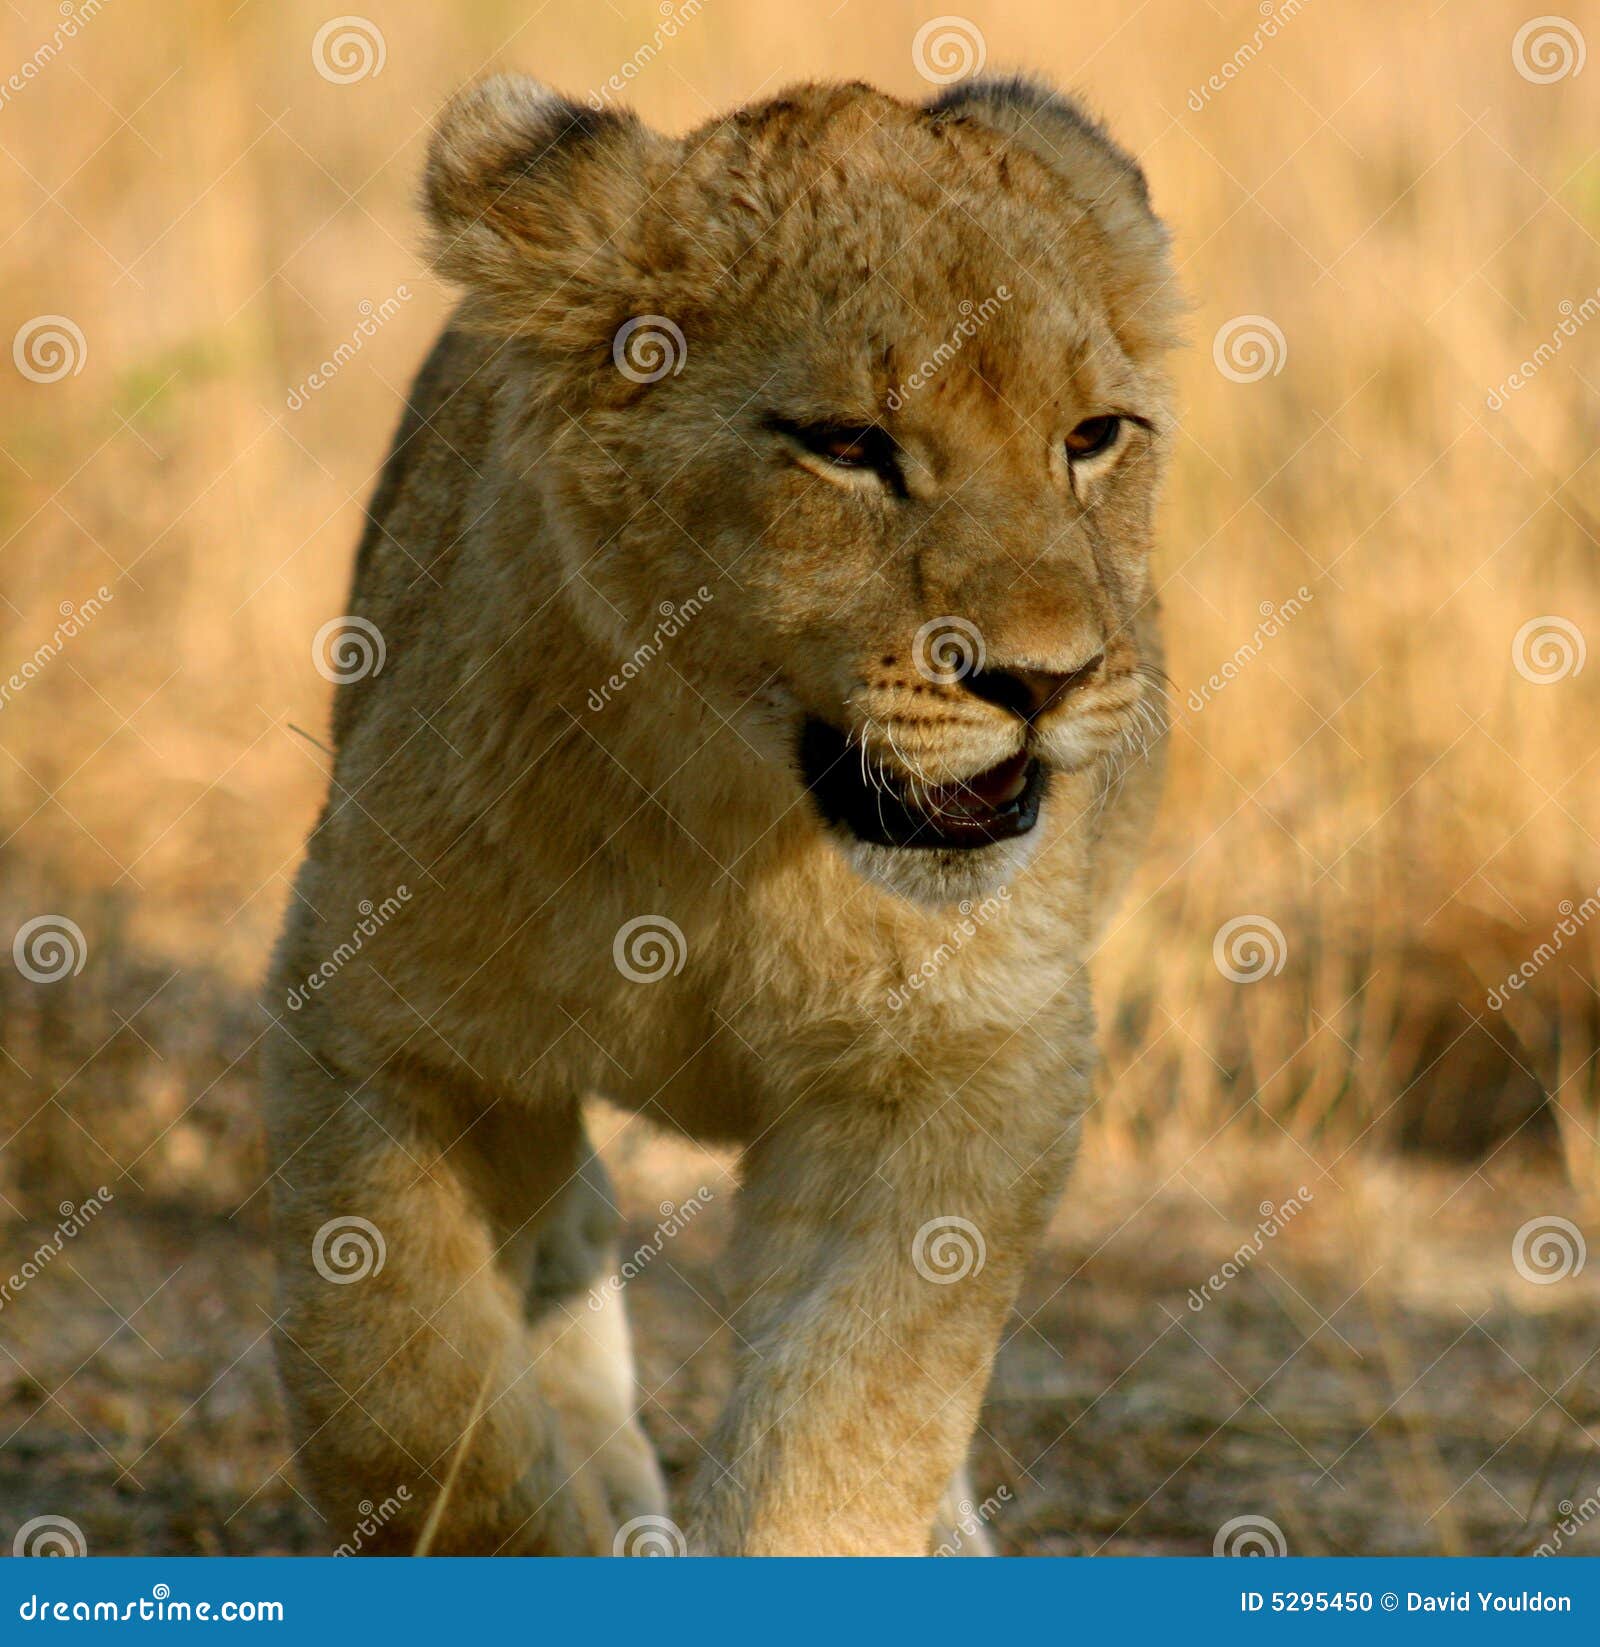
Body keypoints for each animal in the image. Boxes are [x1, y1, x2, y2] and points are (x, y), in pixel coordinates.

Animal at [263, 71, 1180, 1557]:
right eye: (849, 447)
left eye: (1094, 438)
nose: (1045, 680)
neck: (732, 826)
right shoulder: (371, 1013)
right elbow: (398, 1382)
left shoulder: (966, 1063)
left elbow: (848, 1423)